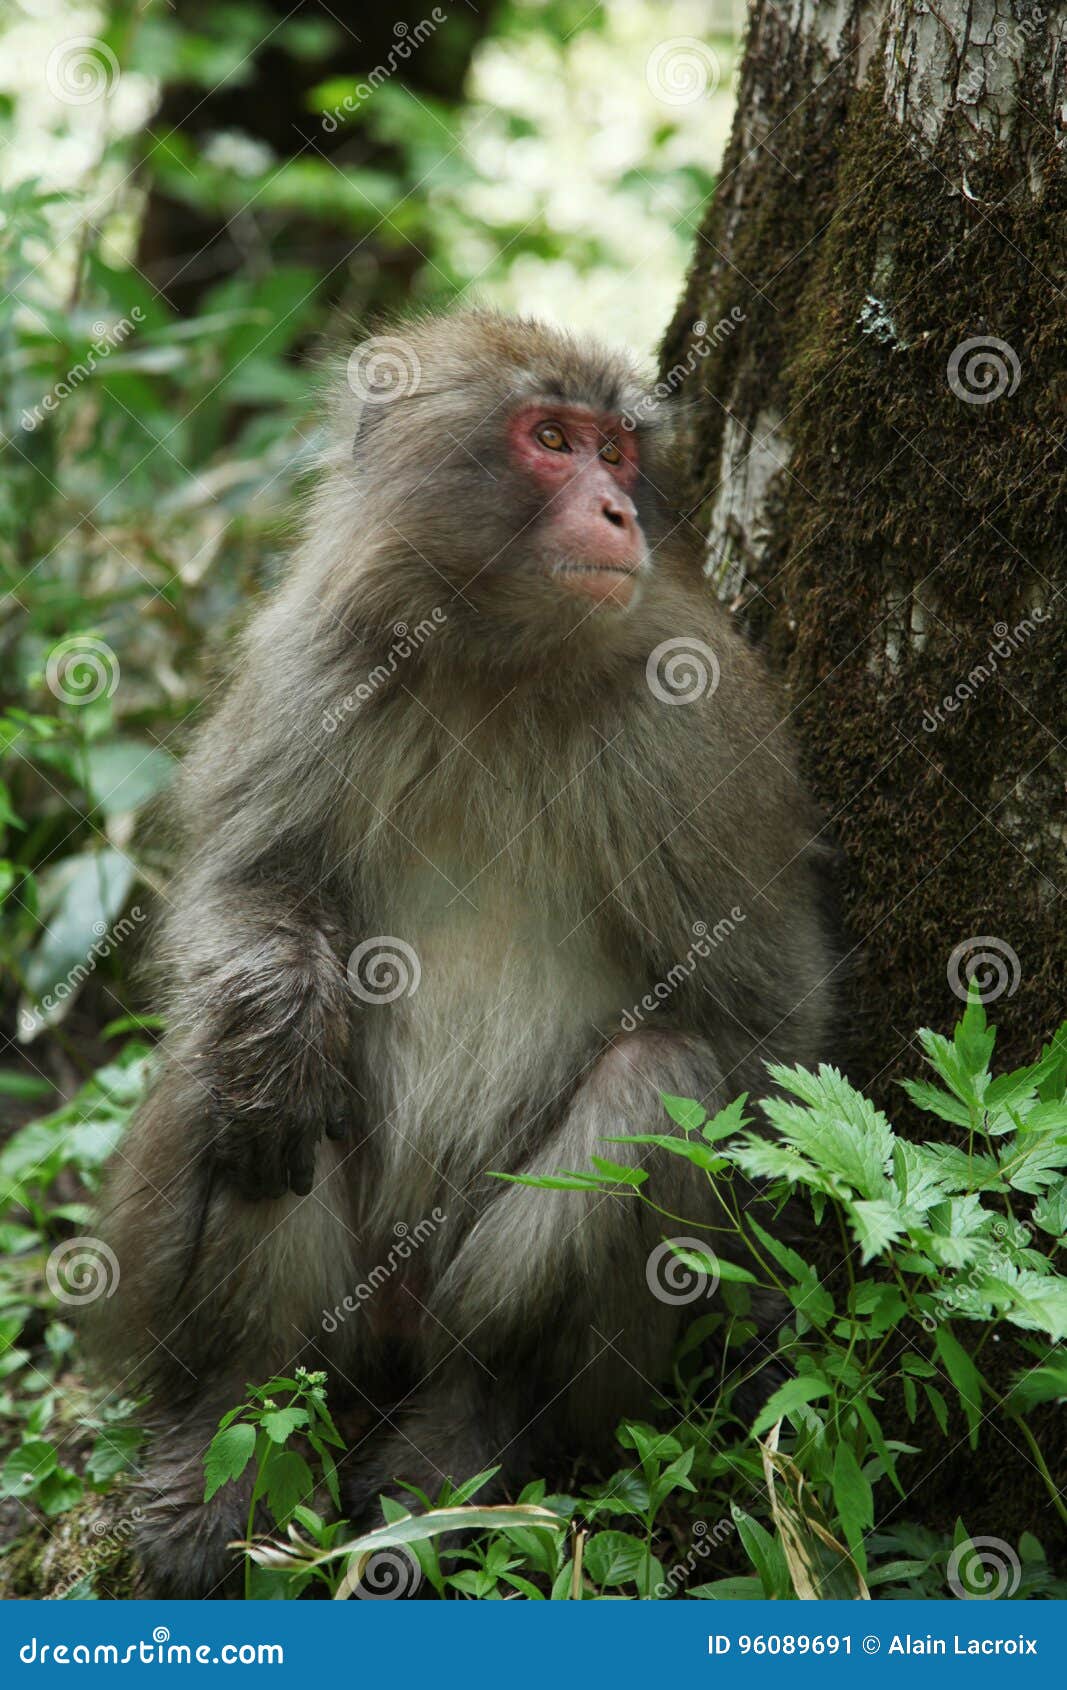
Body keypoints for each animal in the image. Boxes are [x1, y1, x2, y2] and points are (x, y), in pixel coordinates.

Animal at [88, 309, 836, 1597]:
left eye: (617, 452)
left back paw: (470, 1429)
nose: (618, 512)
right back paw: (227, 1427)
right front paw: (281, 1019)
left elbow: (764, 1015)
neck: (495, 660)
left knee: (661, 1079)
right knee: (225, 1073)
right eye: (552, 441)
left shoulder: (695, 723)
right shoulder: (313, 662)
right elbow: (242, 890)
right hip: (329, 1320)